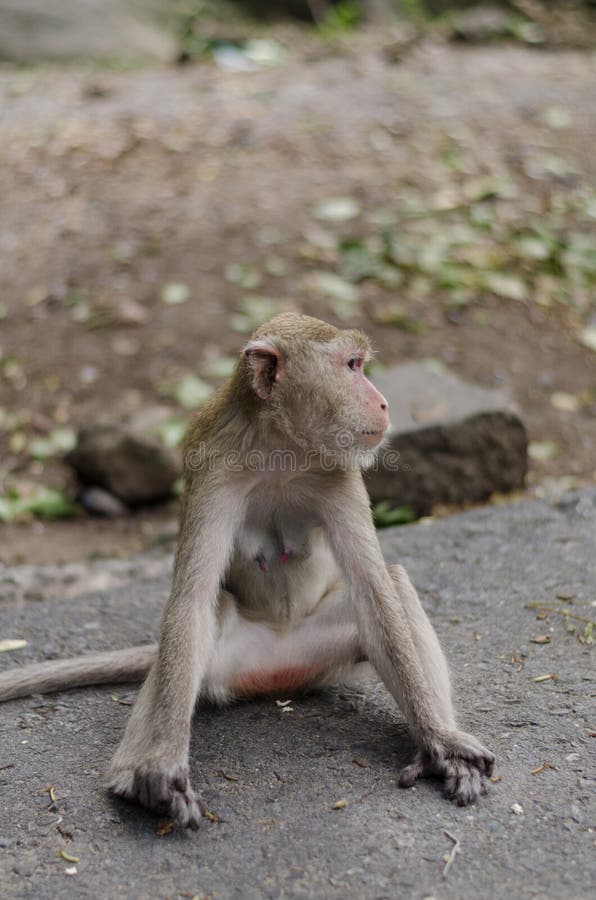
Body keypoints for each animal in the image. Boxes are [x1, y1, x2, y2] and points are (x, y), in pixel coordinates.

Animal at [0, 312, 494, 828]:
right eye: (351, 365)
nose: (382, 401)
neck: (280, 448)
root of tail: (276, 670)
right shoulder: (212, 470)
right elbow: (192, 600)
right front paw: (162, 767)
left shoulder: (339, 472)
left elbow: (375, 591)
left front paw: (441, 741)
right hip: (226, 661)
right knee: (200, 621)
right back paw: (134, 777)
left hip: (321, 651)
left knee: (393, 584)